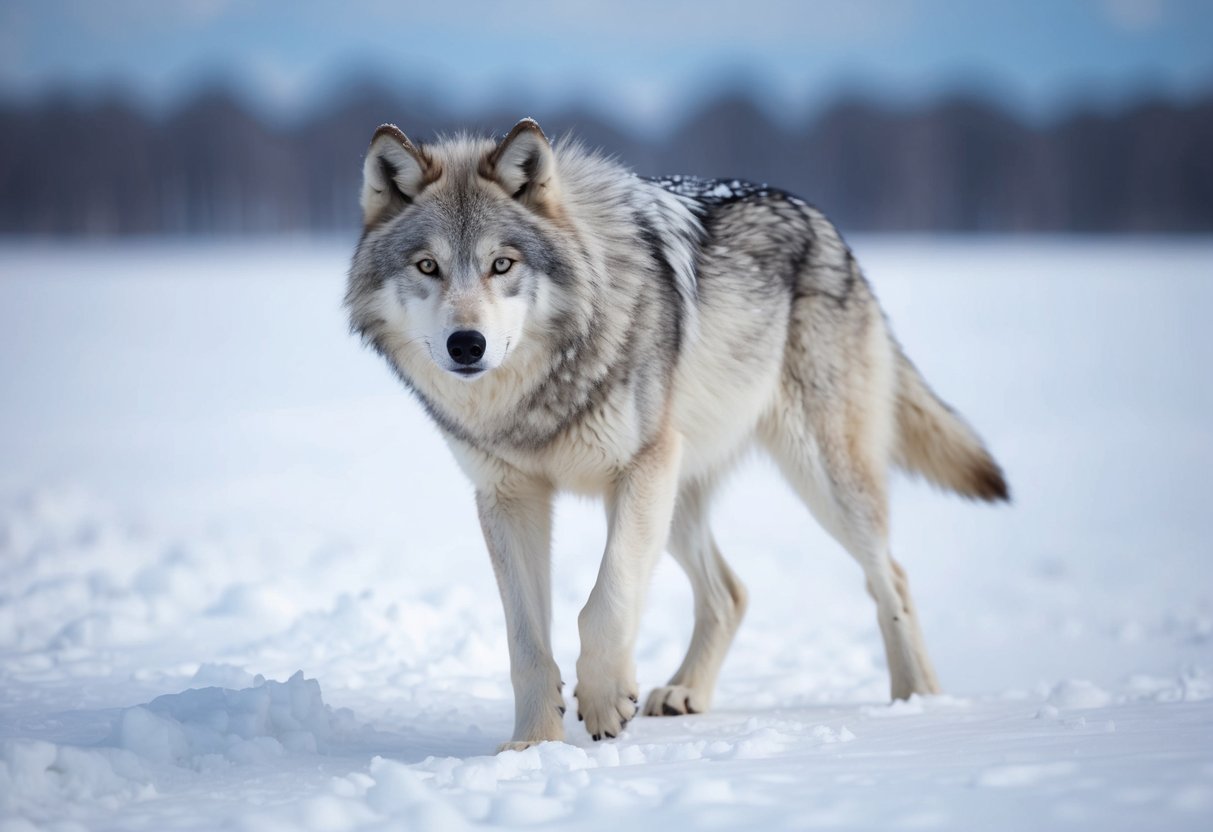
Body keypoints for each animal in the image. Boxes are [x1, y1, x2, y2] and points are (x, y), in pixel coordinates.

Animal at [346, 118, 1008, 751]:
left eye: (501, 264)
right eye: (427, 267)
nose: (466, 344)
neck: (536, 398)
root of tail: (825, 225)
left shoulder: (642, 466)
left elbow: (607, 599)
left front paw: (605, 699)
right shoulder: (510, 498)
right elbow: (526, 642)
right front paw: (532, 747)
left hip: (816, 479)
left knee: (889, 576)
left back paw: (916, 701)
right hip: (682, 500)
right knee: (731, 592)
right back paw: (687, 692)